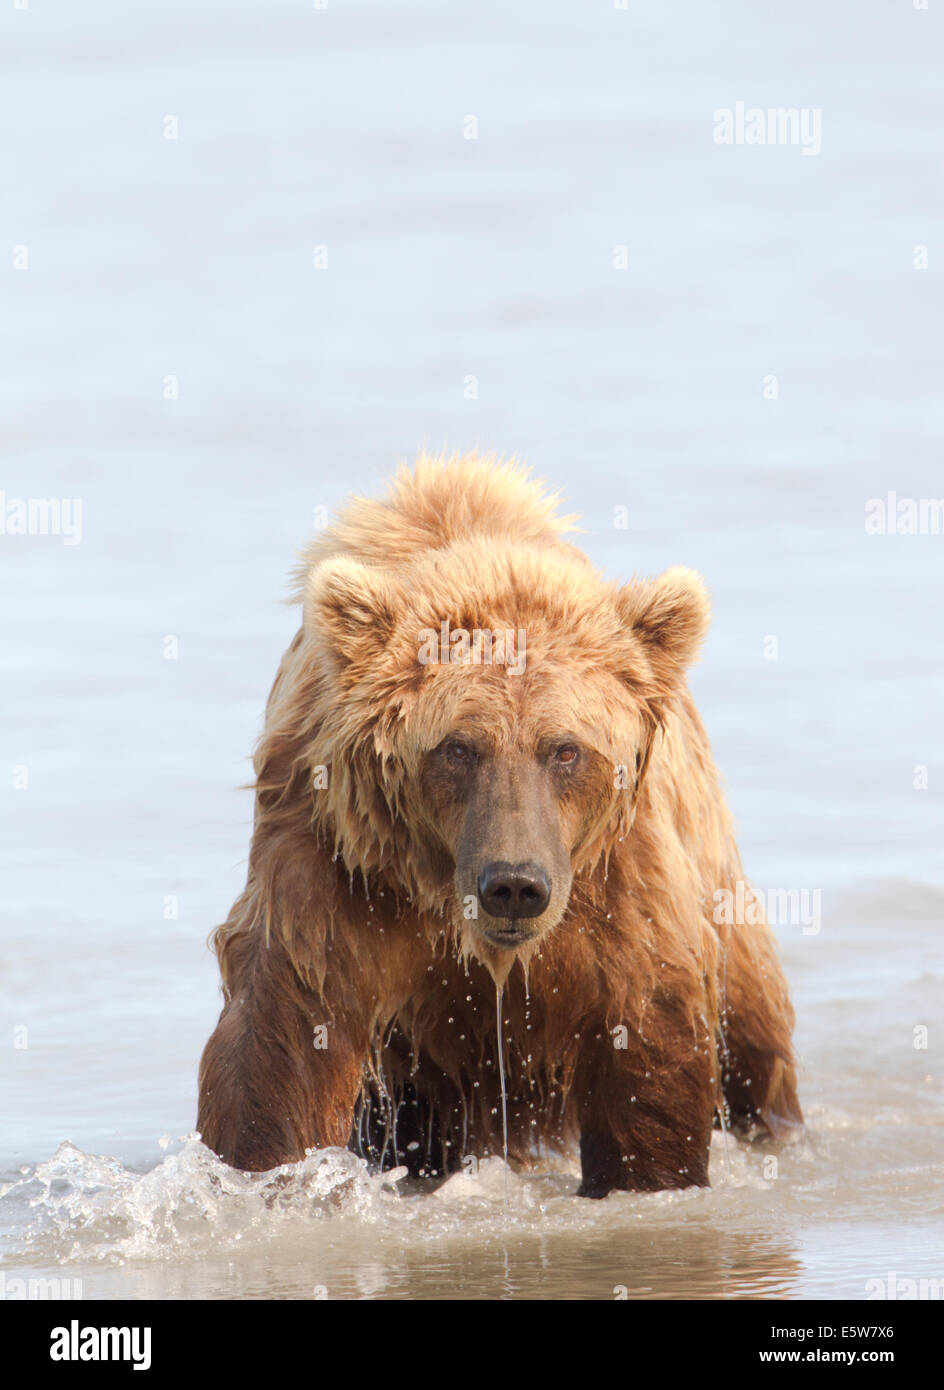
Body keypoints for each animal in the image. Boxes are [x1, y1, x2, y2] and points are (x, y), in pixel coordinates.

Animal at [197, 453, 802, 1197]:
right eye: (458, 747)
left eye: (565, 749)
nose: (514, 885)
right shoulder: (336, 863)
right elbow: (284, 1040)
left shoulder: (614, 881)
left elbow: (647, 1037)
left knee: (755, 1044)